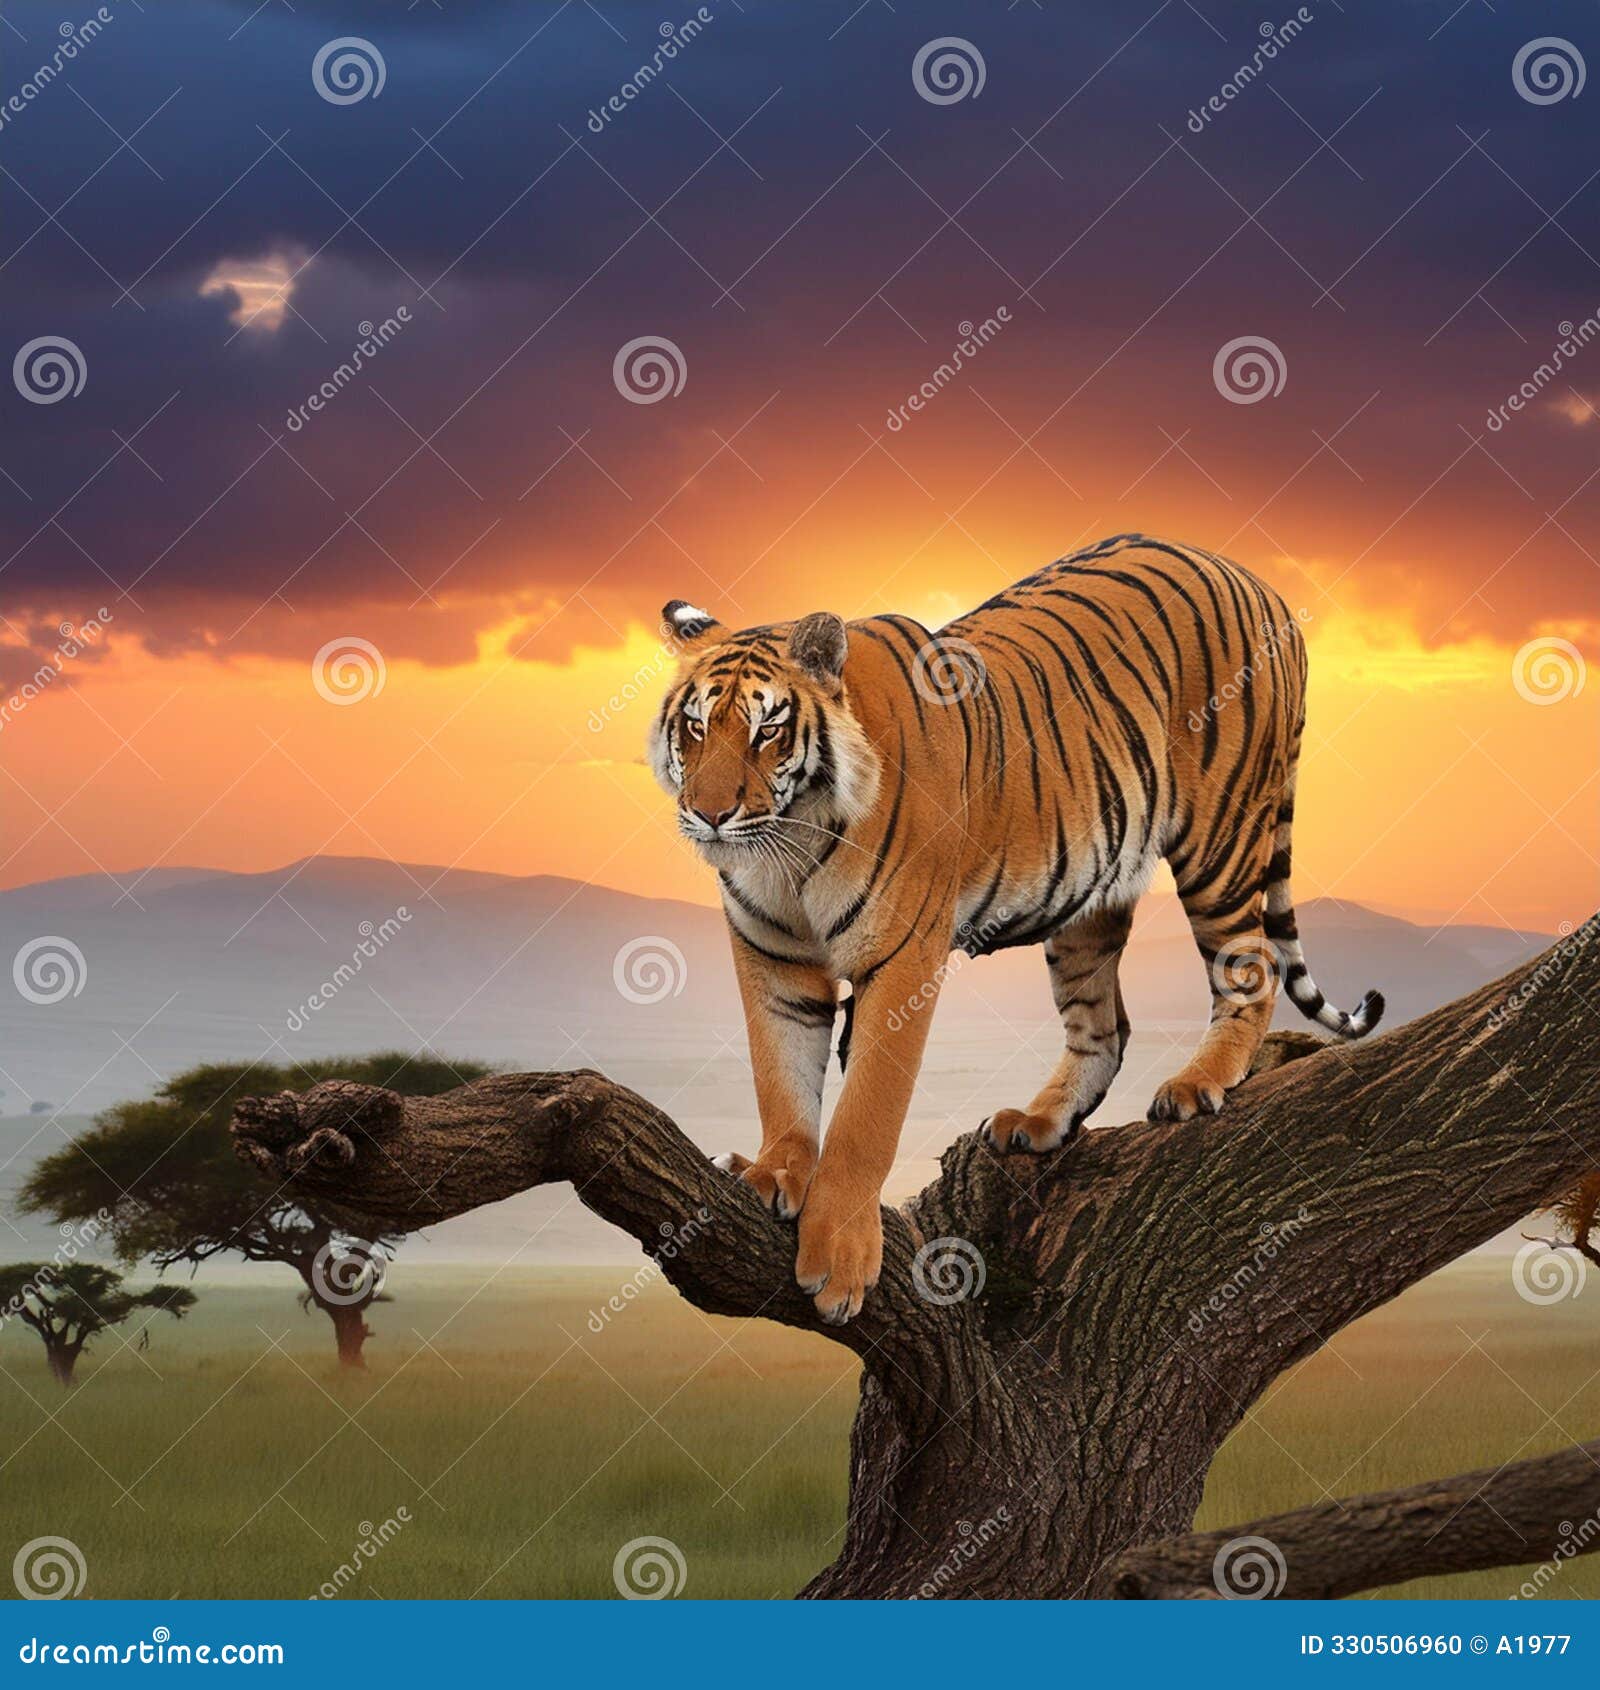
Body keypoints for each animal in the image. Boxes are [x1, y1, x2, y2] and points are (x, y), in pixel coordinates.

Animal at [648, 534, 1384, 1325]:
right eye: (696, 728)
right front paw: (770, 1172)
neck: (786, 846)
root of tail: (1255, 580)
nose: (710, 815)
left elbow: (867, 1115)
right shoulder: (772, 959)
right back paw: (1039, 1123)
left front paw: (838, 1258)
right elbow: (780, 1077)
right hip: (1091, 893)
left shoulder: (903, 959)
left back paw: (1198, 1084)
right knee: (1105, 1028)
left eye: (768, 731)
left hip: (1220, 840)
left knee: (1253, 971)